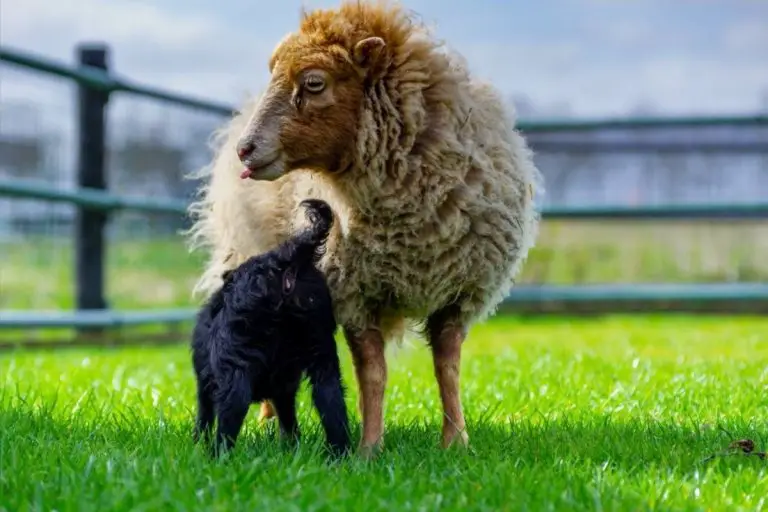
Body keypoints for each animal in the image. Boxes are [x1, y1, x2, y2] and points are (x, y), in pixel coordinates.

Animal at [187, 0, 543, 455]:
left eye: (314, 82)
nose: (244, 150)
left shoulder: (459, 296)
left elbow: (447, 368)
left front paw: (455, 441)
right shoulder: (355, 293)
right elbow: (372, 374)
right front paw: (370, 448)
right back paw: (268, 421)